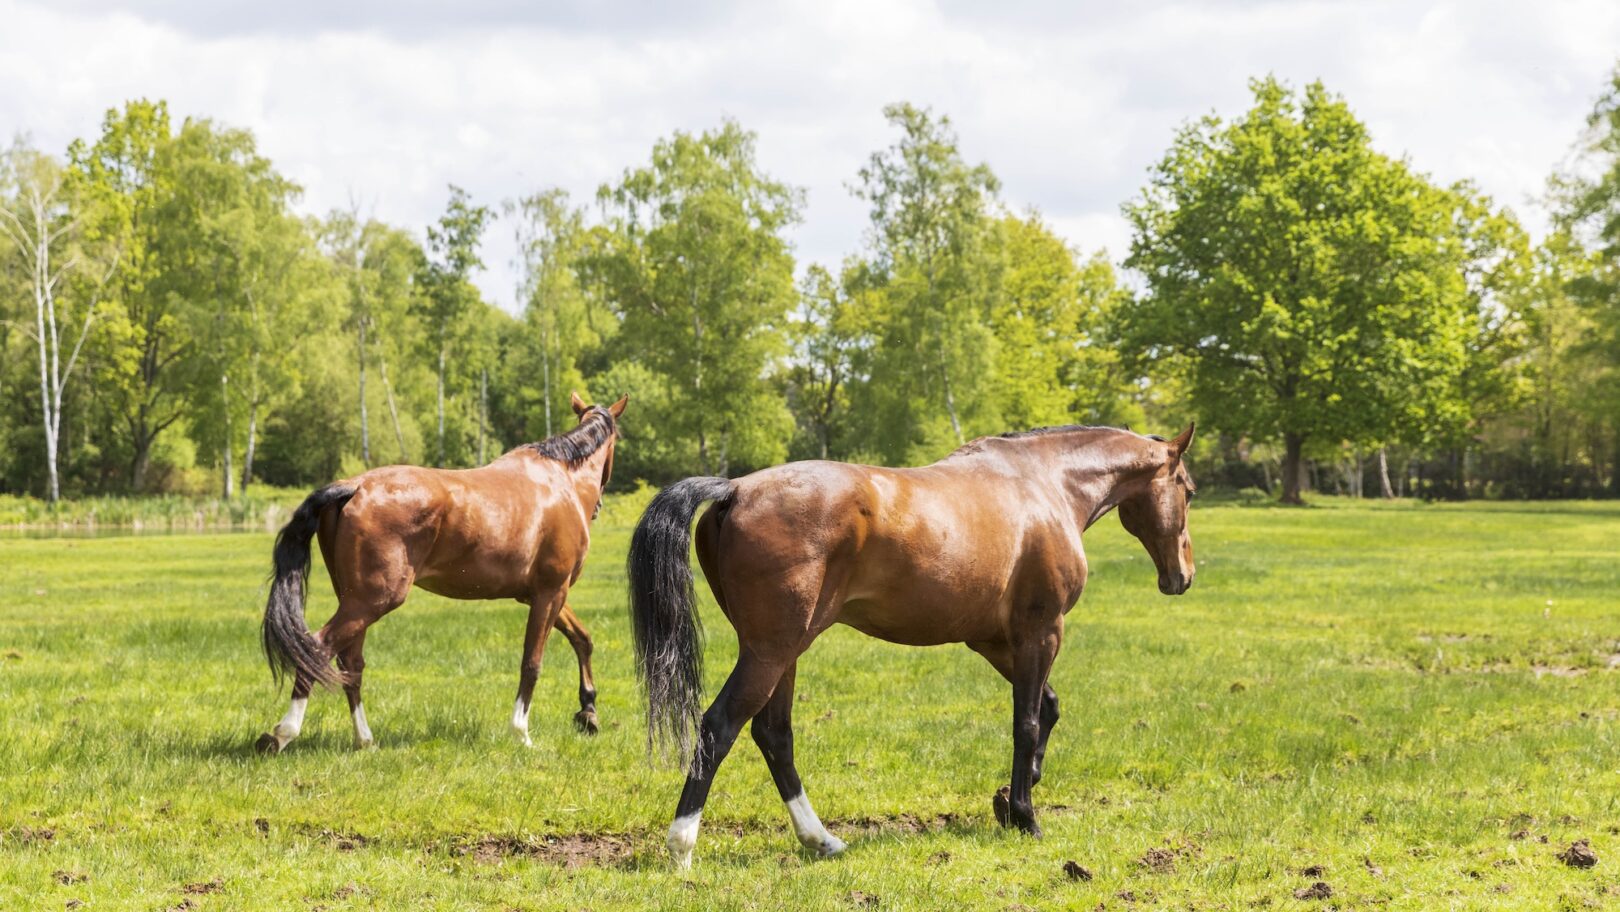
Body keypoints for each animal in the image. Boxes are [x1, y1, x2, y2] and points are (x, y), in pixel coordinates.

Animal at [255, 392, 628, 754]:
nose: (598, 507)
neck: (559, 481)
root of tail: (354, 487)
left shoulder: (542, 593)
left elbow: (582, 639)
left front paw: (589, 712)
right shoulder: (551, 592)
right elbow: (532, 662)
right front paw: (521, 733)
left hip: (354, 600)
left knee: (350, 663)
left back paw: (365, 740)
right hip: (370, 601)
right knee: (318, 649)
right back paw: (282, 734)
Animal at [627, 423, 1196, 868]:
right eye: (1188, 491)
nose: (1183, 576)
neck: (1044, 483)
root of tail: (734, 490)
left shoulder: (991, 639)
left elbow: (1048, 709)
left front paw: (1009, 800)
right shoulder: (1041, 631)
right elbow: (1028, 722)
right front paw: (1025, 816)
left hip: (784, 652)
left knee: (773, 735)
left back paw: (821, 840)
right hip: (770, 651)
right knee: (719, 726)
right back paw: (682, 847)